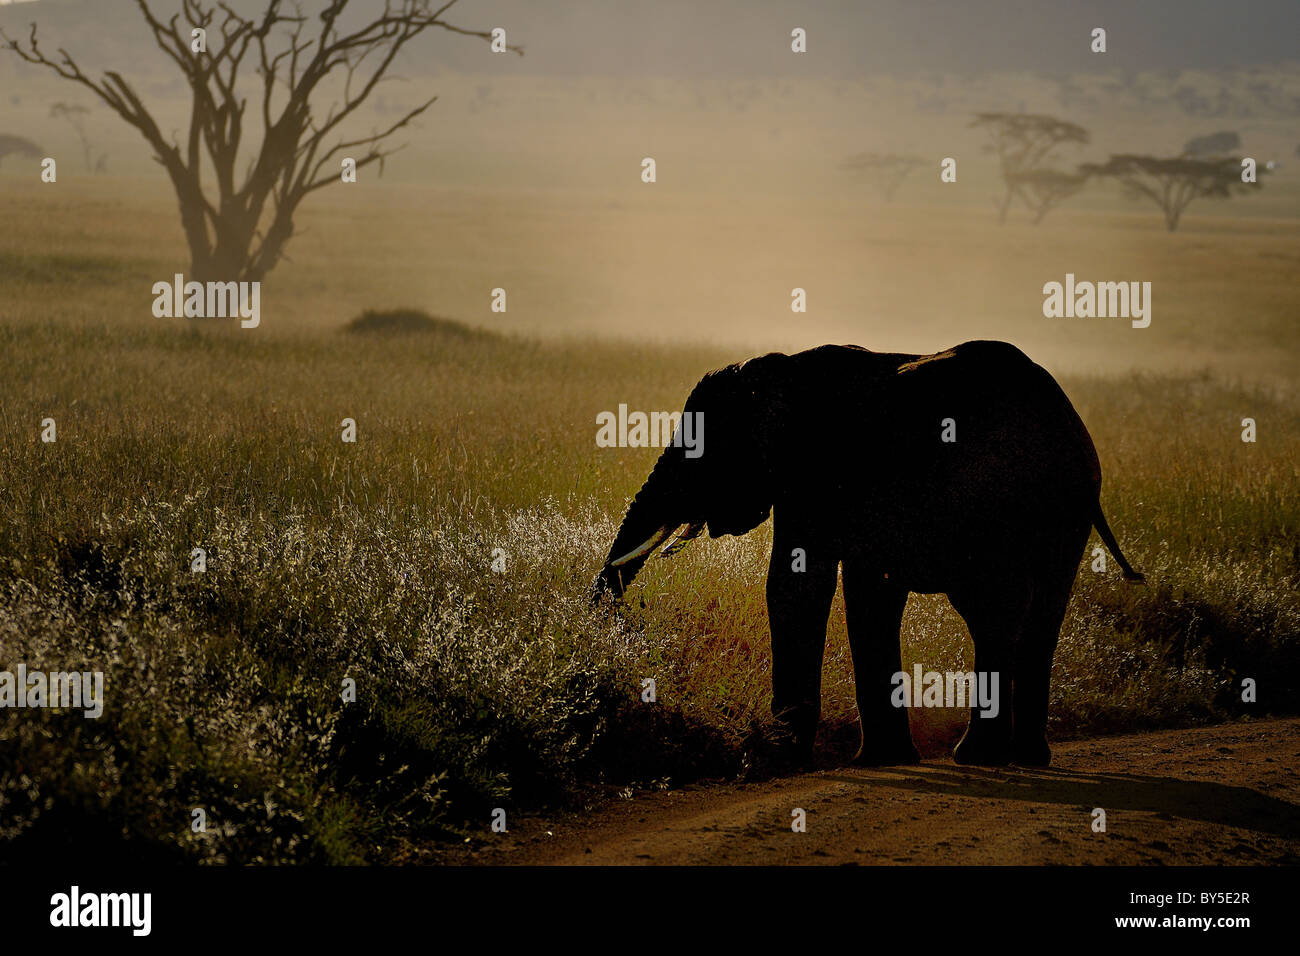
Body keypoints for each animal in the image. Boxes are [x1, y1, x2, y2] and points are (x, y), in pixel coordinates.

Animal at [590, 340, 1144, 768]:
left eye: (700, 453)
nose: (628, 626)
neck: (775, 372)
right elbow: (868, 593)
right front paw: (881, 760)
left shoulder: (814, 478)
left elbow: (796, 586)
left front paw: (779, 757)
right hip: (1063, 509)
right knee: (1040, 611)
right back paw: (1024, 758)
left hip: (997, 501)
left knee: (994, 608)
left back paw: (978, 756)